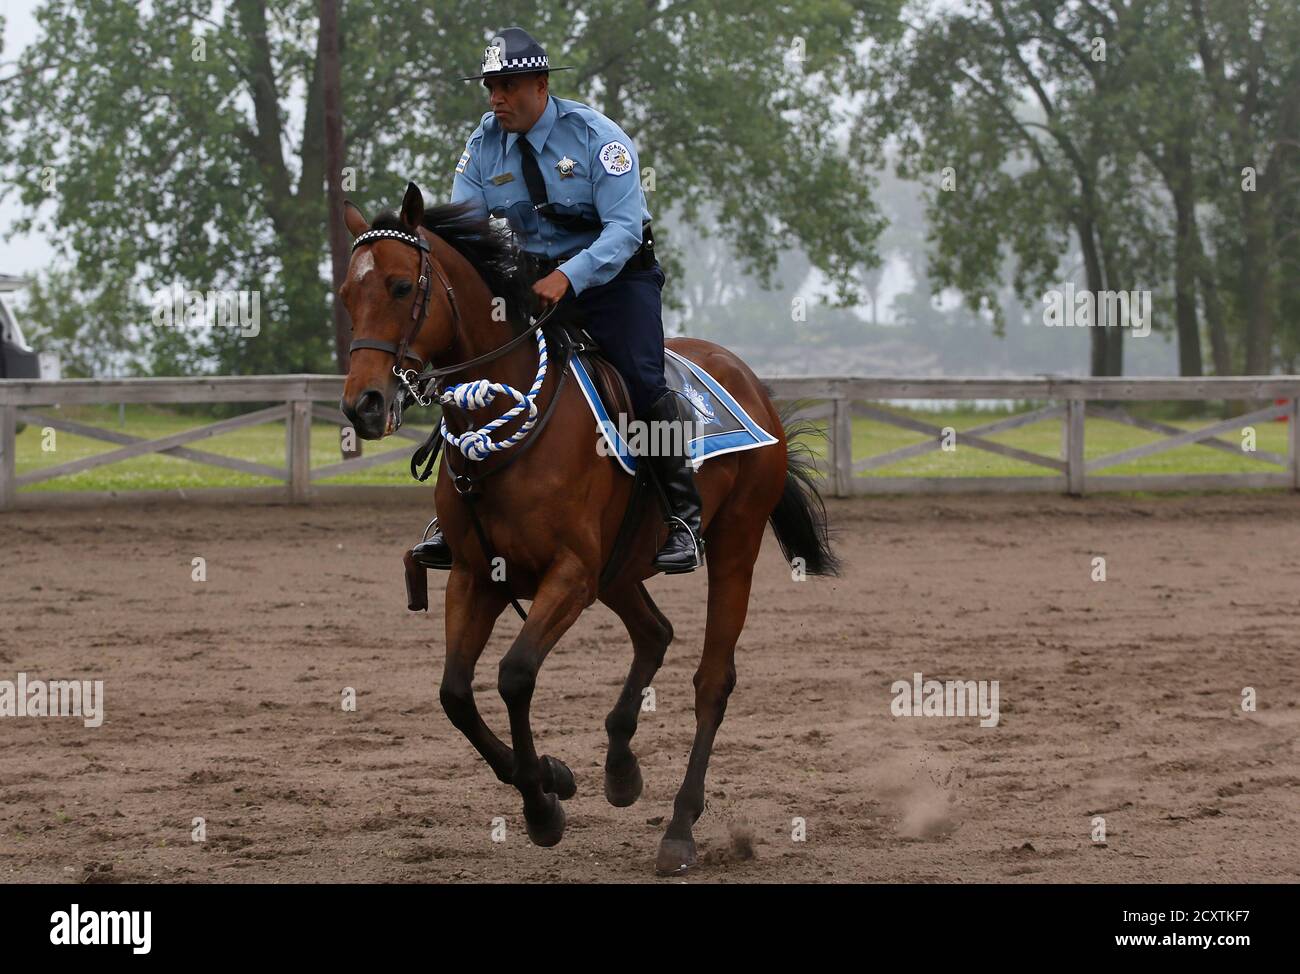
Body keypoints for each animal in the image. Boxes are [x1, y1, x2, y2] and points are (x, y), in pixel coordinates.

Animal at [339, 182, 839, 875]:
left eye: (397, 285)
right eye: (346, 293)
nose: (362, 404)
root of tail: (753, 386)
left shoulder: (570, 576)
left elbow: (515, 675)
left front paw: (541, 806)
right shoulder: (476, 575)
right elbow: (455, 694)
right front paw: (553, 778)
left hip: (731, 546)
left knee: (712, 681)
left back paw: (679, 828)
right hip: (620, 568)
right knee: (655, 633)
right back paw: (621, 769)